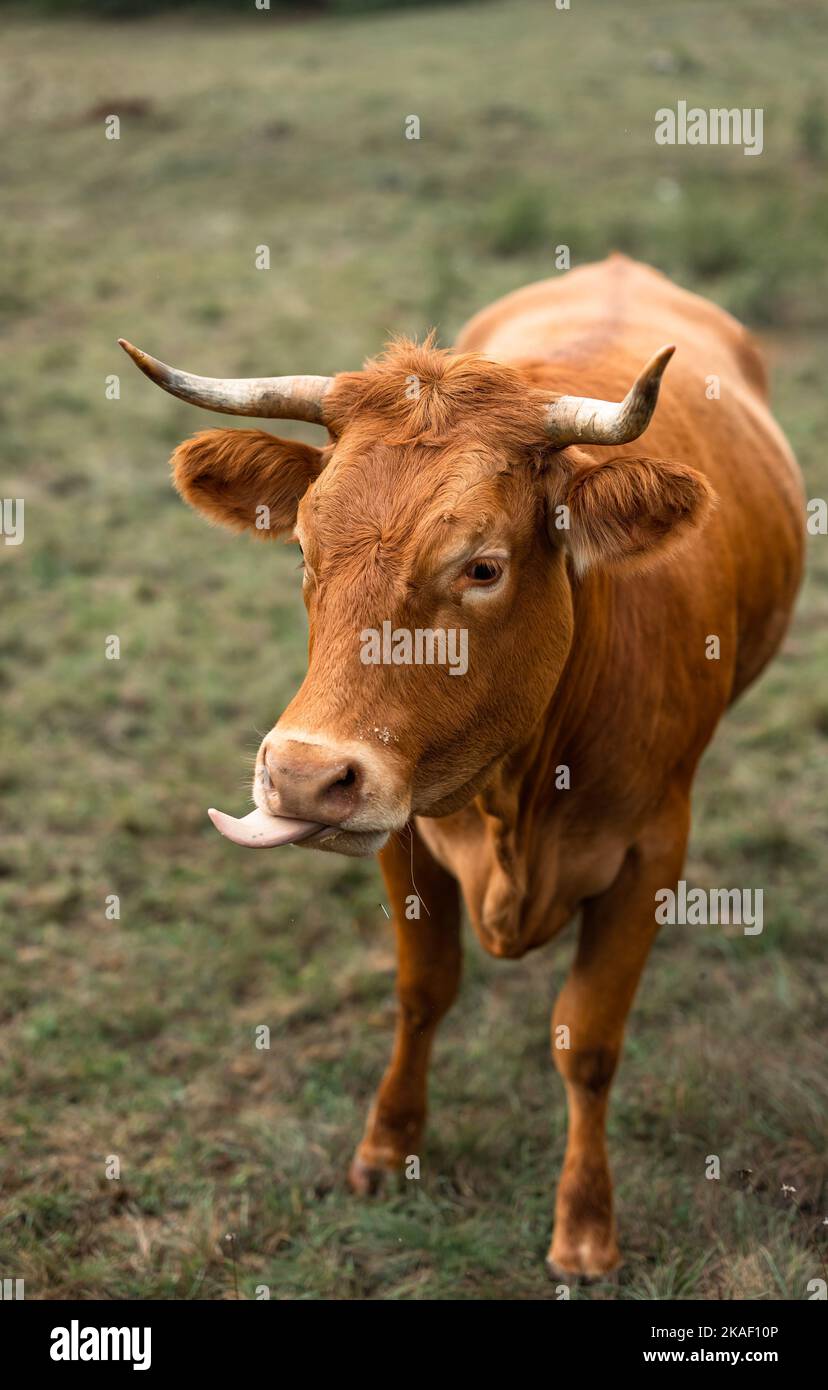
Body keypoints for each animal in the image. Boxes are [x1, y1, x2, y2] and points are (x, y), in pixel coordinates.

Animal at [120, 255, 804, 1278]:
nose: (302, 777)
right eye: (302, 549)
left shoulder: (651, 851)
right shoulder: (407, 839)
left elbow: (588, 1042)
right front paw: (386, 1145)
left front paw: (585, 1226)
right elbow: (422, 992)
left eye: (482, 567)